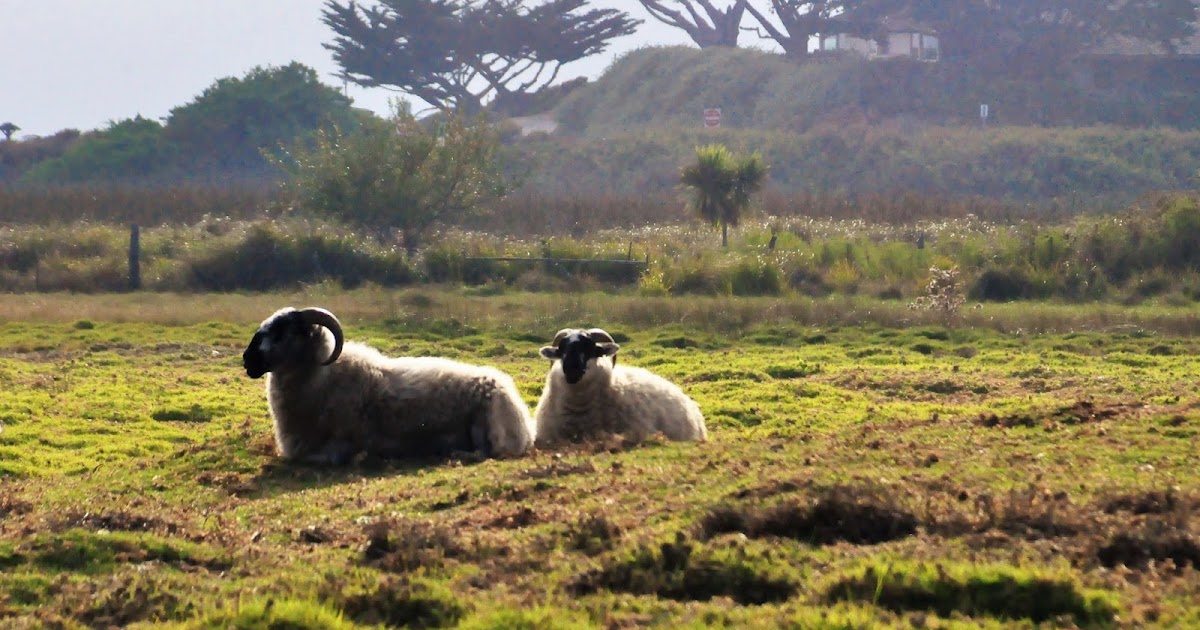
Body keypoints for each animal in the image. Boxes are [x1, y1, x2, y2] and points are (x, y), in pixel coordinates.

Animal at [241, 307, 535, 465]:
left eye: (282, 331)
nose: (247, 359)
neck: (322, 377)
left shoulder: (337, 446)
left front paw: (363, 458)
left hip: (487, 426)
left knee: (488, 453)